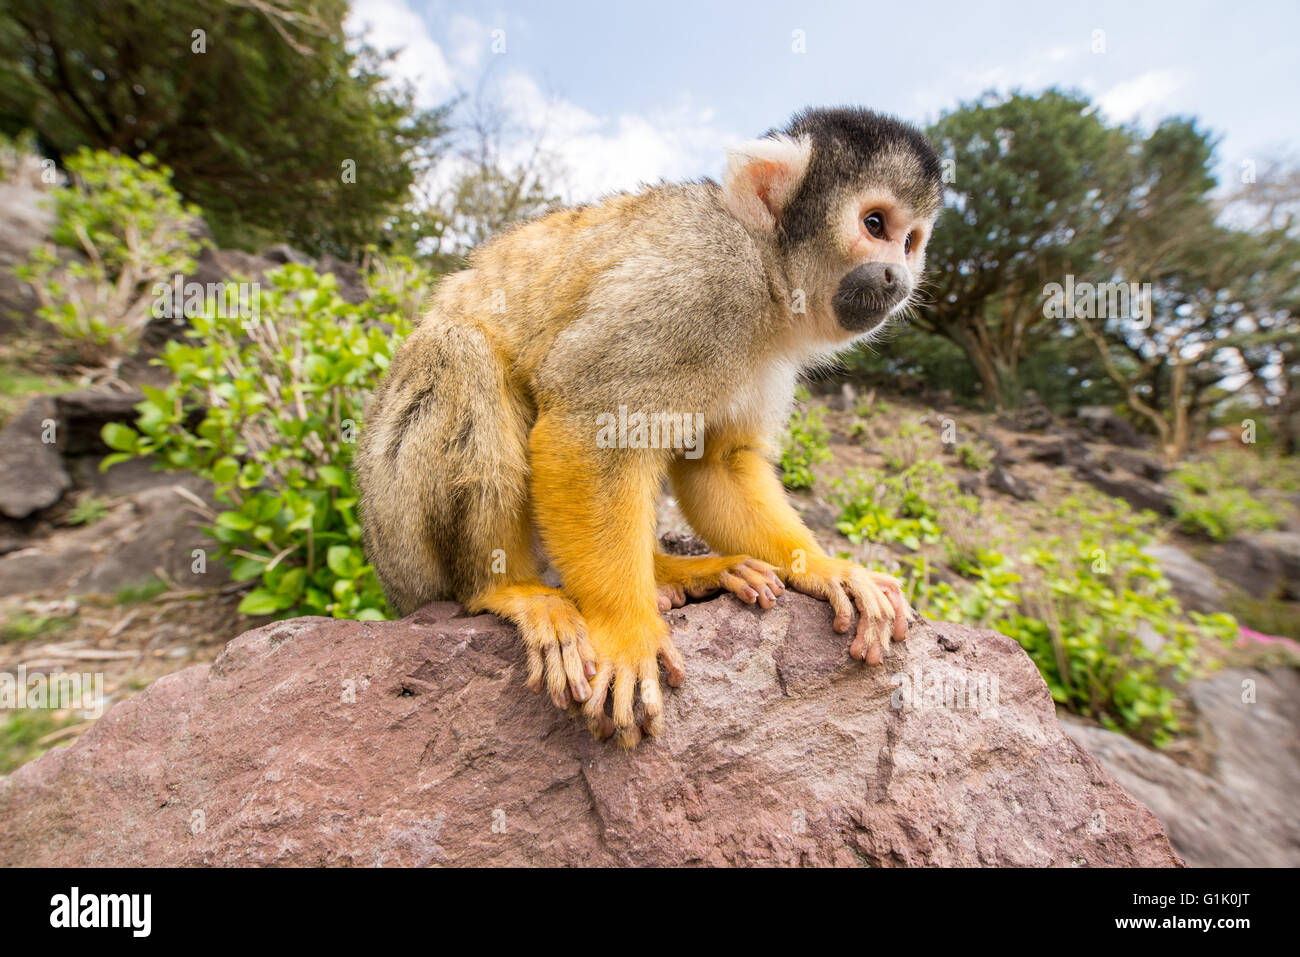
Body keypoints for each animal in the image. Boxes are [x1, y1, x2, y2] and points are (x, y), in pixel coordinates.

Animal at [356, 106, 943, 748]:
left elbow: (717, 464)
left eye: (911, 241)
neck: (766, 273)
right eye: (874, 223)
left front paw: (823, 568)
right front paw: (626, 630)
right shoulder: (696, 283)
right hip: (398, 536)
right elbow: (593, 429)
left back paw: (672, 571)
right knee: (462, 352)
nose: (898, 277)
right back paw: (508, 589)